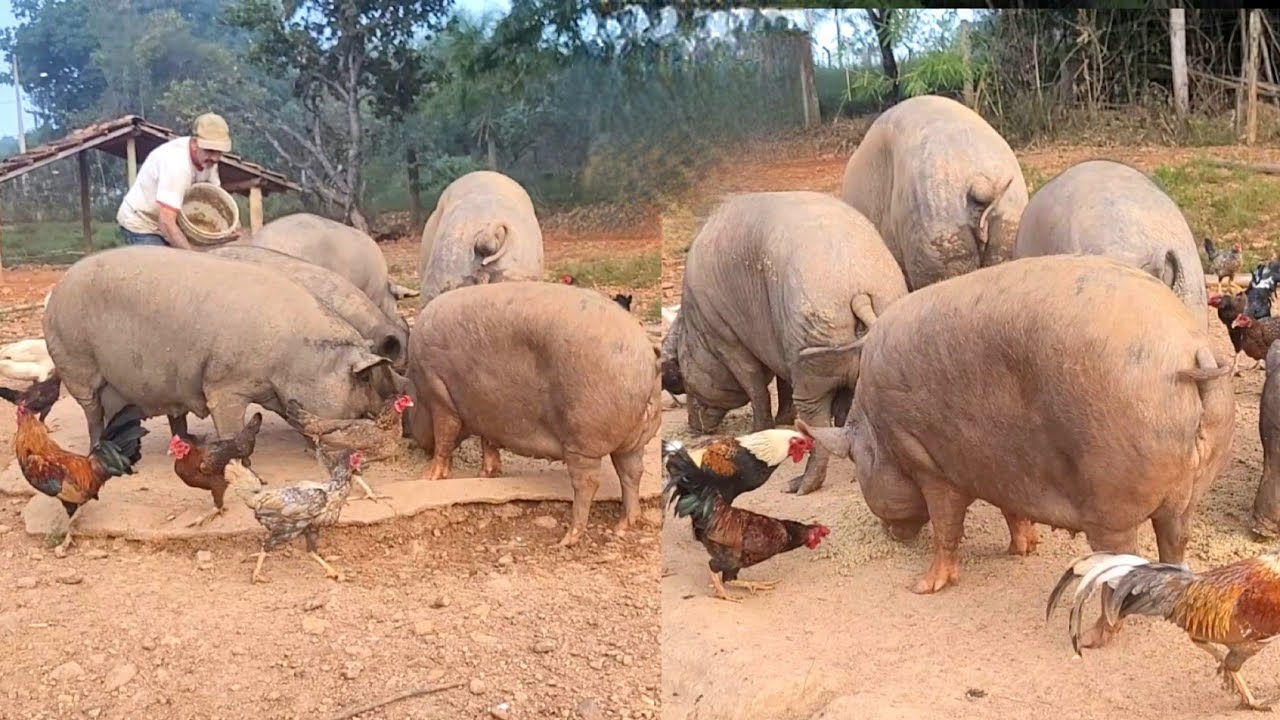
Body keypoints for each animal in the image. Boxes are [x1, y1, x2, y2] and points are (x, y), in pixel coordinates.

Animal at [402, 281, 661, 547]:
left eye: (407, 406)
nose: (405, 434)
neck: (422, 391)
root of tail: (646, 362)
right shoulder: (488, 414)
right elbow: (488, 446)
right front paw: (485, 475)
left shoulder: (440, 397)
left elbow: (445, 438)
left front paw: (427, 478)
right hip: (634, 441)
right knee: (632, 473)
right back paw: (623, 527)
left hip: (583, 438)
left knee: (588, 483)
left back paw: (566, 540)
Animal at [669, 191, 908, 495]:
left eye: (681, 371)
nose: (693, 427)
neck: (698, 327)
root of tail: (859, 291)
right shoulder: (779, 346)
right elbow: (783, 382)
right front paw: (783, 418)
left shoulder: (729, 340)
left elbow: (755, 387)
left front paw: (756, 430)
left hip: (812, 363)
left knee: (812, 419)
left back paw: (797, 487)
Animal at [799, 253, 1234, 650]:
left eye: (857, 463)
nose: (890, 534)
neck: (881, 431)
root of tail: (1192, 352)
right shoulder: (1007, 470)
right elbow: (1013, 511)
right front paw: (1023, 549)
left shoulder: (930, 466)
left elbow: (945, 526)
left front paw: (921, 587)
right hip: (1190, 492)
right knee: (1175, 542)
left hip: (1114, 506)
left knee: (1119, 571)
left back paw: (1091, 639)